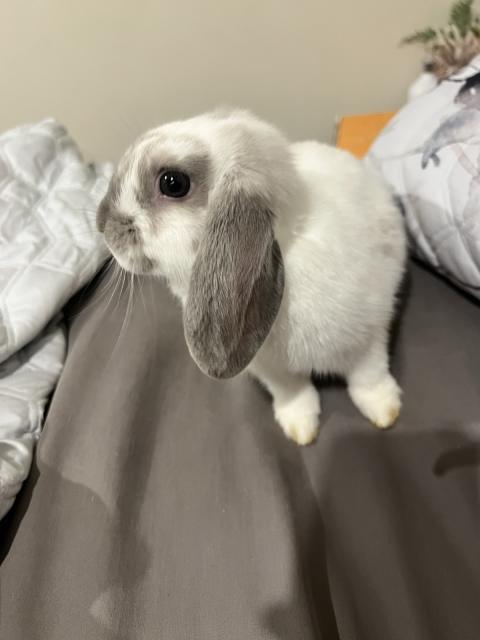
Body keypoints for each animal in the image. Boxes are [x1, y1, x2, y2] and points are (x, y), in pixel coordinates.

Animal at [97, 108, 407, 445]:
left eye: (173, 183)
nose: (101, 222)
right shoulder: (272, 369)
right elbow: (293, 393)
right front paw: (300, 429)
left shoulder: (369, 337)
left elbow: (369, 377)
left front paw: (386, 412)